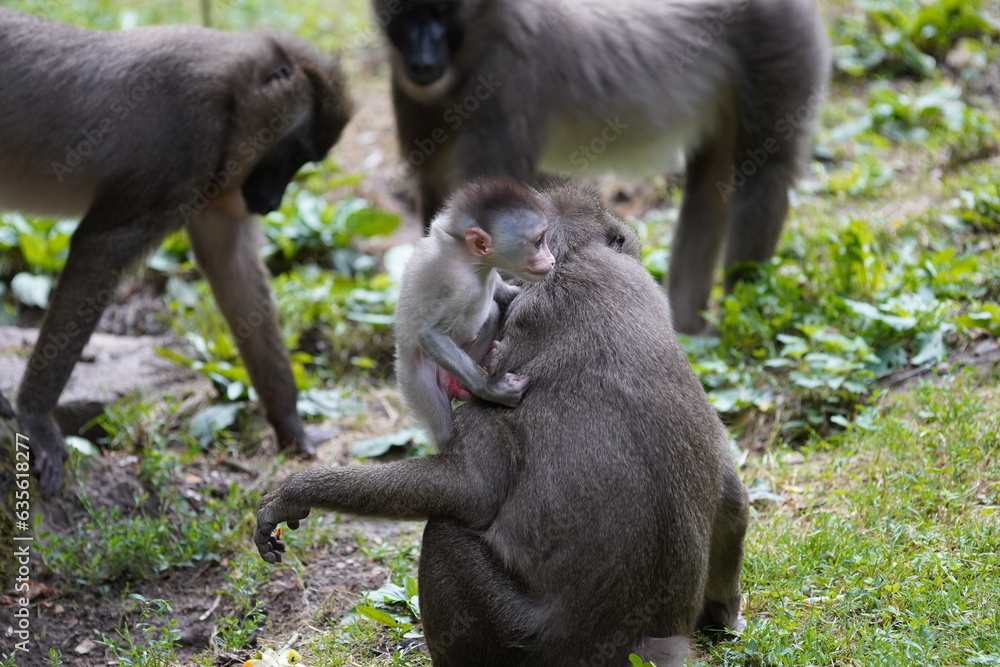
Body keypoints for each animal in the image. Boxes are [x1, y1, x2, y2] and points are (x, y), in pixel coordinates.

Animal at [0, 8, 353, 497]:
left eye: (304, 161)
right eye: (295, 152)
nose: (272, 201)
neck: (231, 98)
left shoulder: (217, 183)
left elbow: (233, 270)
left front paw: (292, 427)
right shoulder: (186, 143)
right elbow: (100, 246)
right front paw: (35, 418)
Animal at [372, 0, 831, 335]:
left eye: (440, 13)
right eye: (405, 13)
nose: (421, 59)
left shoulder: (508, 78)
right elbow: (439, 198)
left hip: (779, 41)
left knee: (766, 170)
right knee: (711, 184)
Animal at [394, 177, 555, 446]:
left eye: (544, 239)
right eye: (537, 242)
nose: (552, 260)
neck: (472, 261)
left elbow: (500, 293)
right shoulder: (460, 286)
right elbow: (430, 335)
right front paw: (491, 390)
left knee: (490, 312)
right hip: (418, 381)